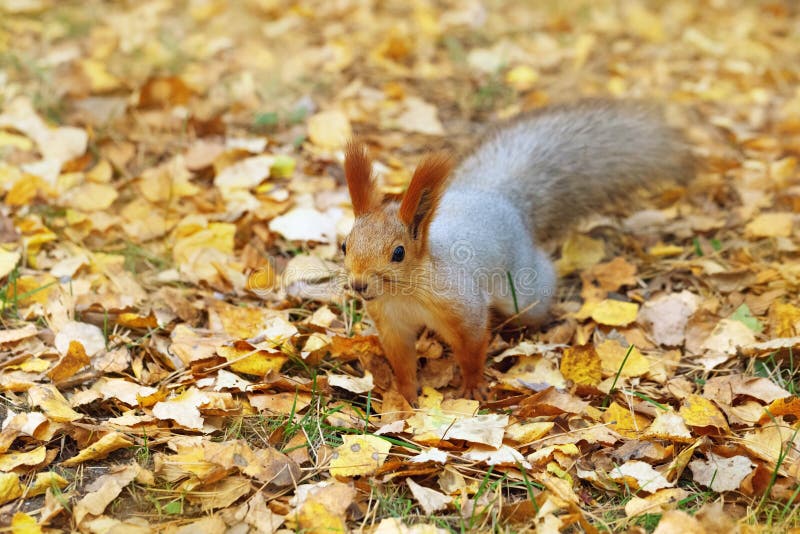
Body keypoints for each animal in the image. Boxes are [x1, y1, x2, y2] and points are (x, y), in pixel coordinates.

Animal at [341, 99, 695, 403]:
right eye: (345, 244)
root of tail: (503, 200)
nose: (359, 285)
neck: (405, 294)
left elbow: (472, 349)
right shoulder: (391, 324)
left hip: (523, 292)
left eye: (398, 253)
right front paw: (405, 394)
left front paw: (473, 386)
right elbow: (401, 361)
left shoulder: (464, 307)